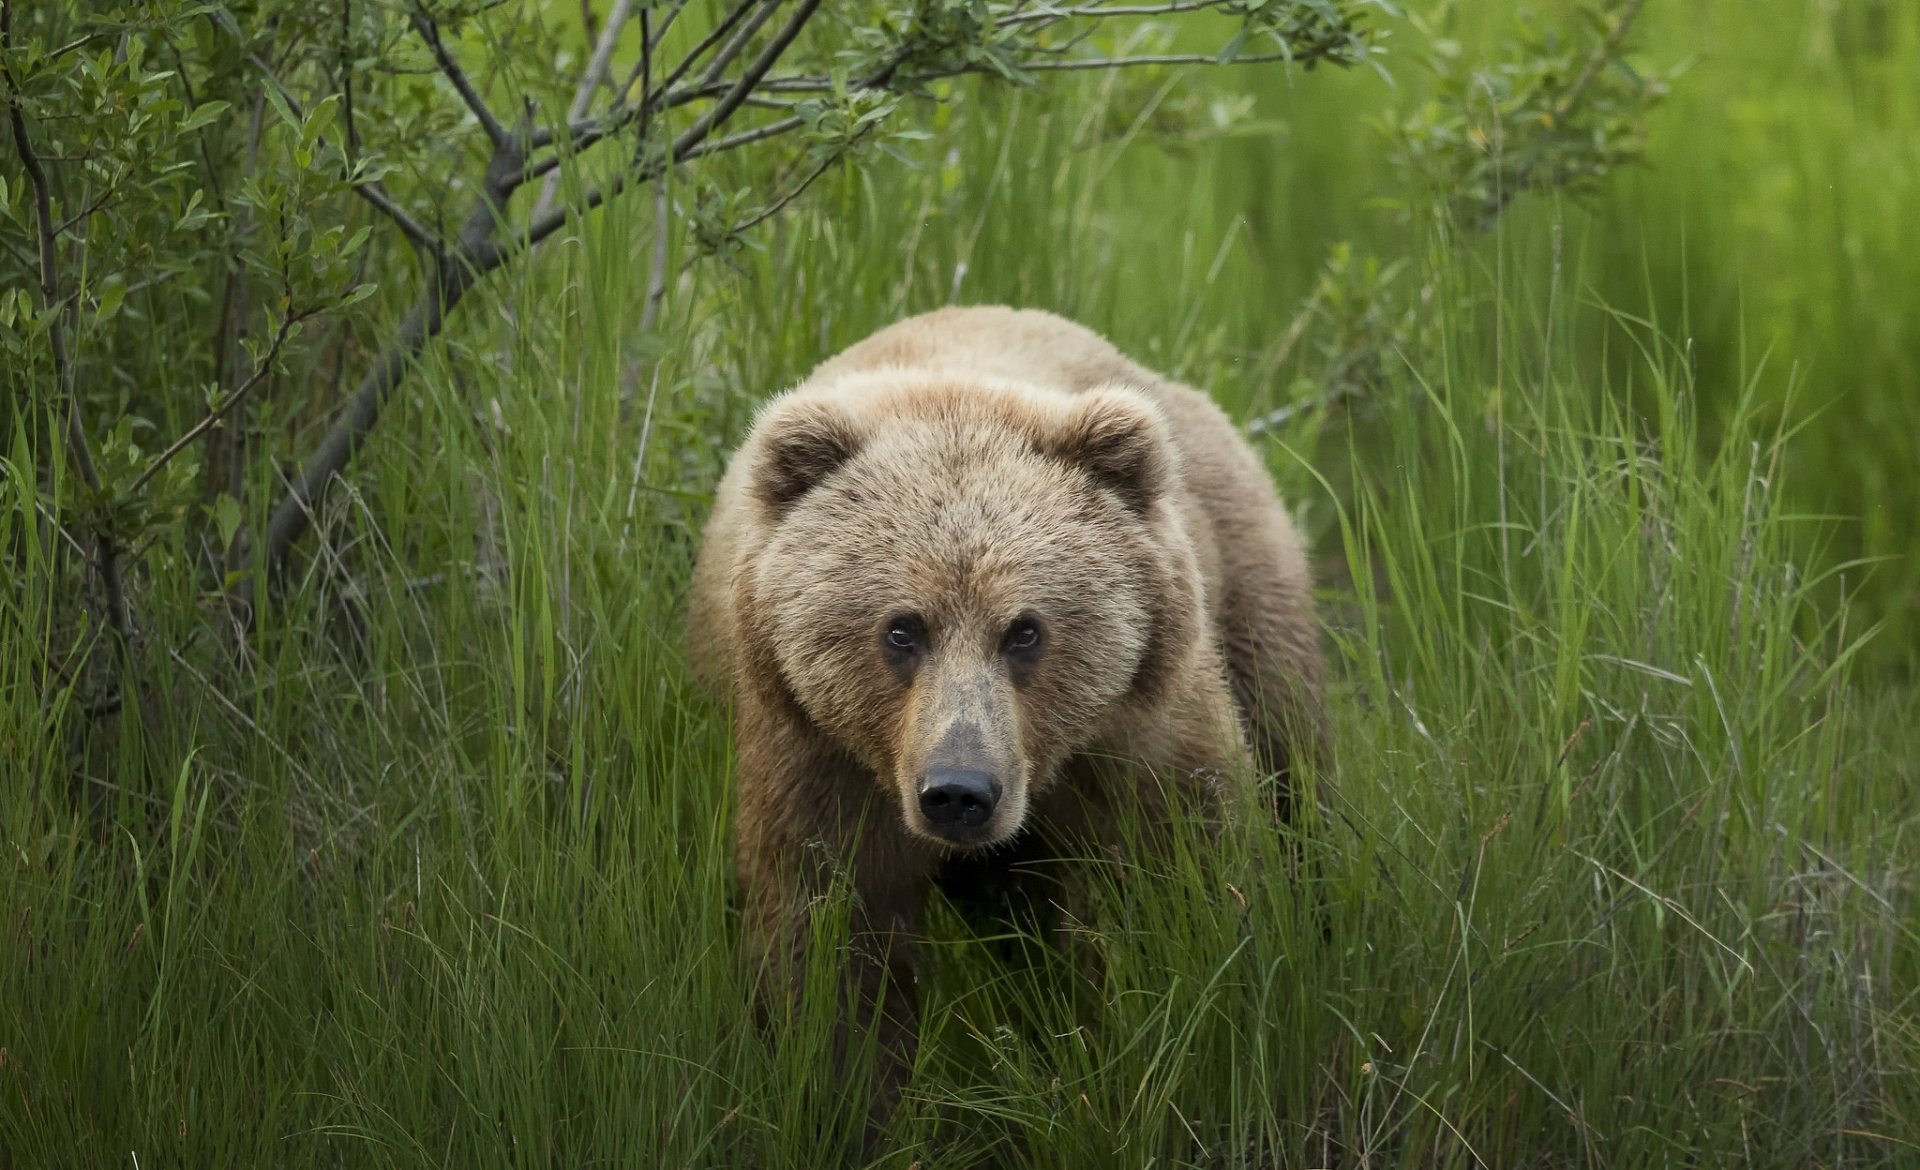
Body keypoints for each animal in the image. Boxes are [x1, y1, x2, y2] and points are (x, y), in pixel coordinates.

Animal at [688, 305, 1328, 1119]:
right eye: (903, 628)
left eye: (1024, 630)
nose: (960, 791)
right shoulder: (817, 757)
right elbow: (828, 945)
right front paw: (848, 1099)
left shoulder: (1137, 736)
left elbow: (1185, 886)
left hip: (1250, 587)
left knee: (1296, 761)